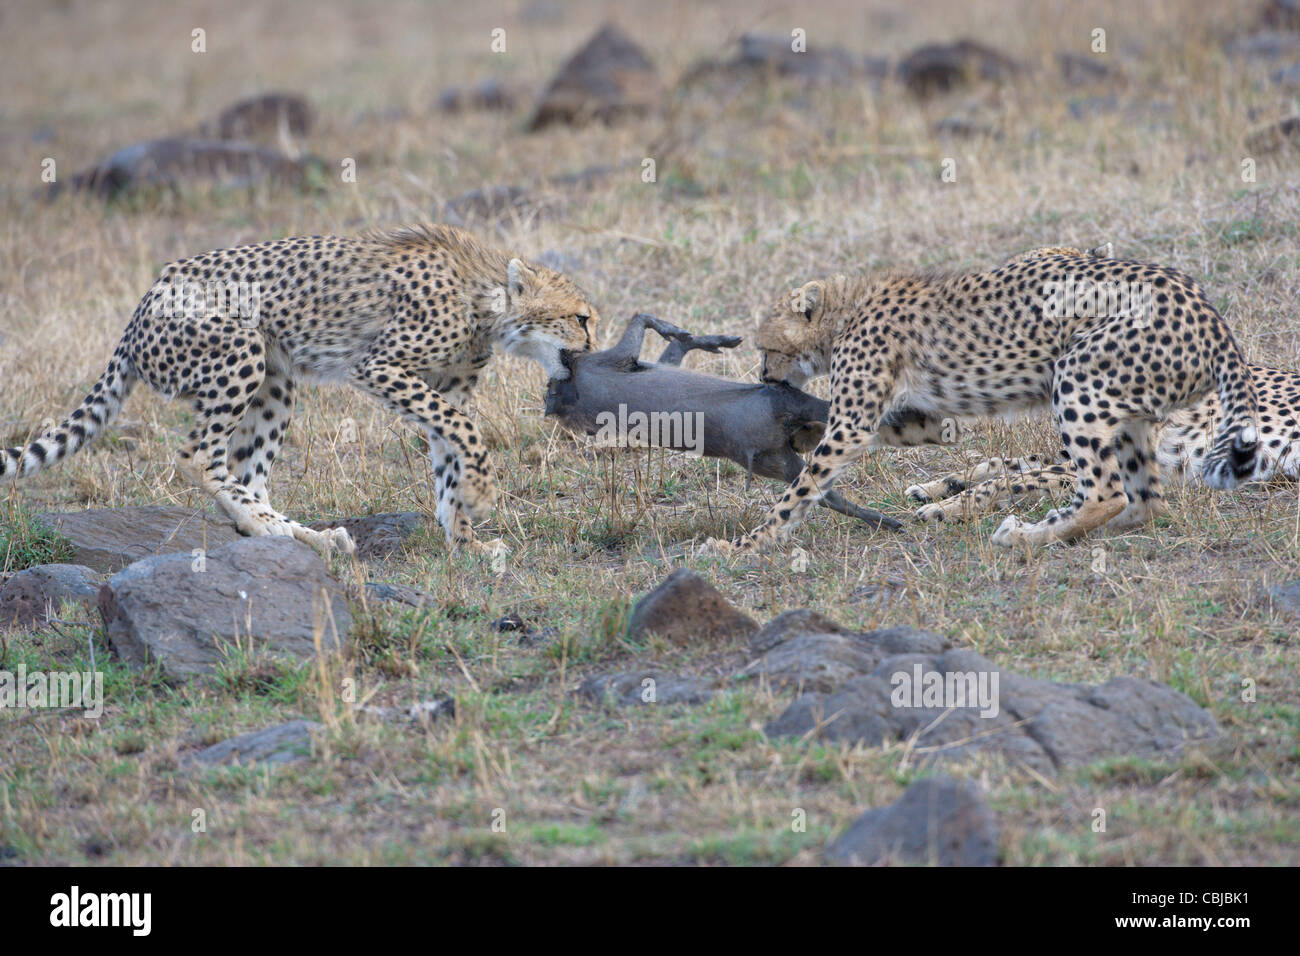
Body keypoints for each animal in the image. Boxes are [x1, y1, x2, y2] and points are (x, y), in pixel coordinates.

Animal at [0, 224, 599, 556]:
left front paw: (465, 540)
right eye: (581, 317)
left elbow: (449, 453)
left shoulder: (442, 389)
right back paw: (279, 530)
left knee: (247, 474)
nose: (595, 345)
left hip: (275, 382)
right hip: (241, 349)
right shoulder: (378, 367)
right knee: (199, 455)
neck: (487, 301)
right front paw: (480, 496)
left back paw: (299, 536)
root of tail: (141, 305)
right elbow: (466, 432)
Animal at [705, 244, 1260, 555]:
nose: (763, 373)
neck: (845, 313)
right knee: (1144, 498)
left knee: (1107, 490)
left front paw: (744, 545)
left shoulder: (854, 424)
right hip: (1131, 414)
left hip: (1078, 375)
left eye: (767, 347)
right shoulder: (924, 419)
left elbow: (799, 491)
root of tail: (1214, 319)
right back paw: (1058, 530)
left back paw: (1026, 536)